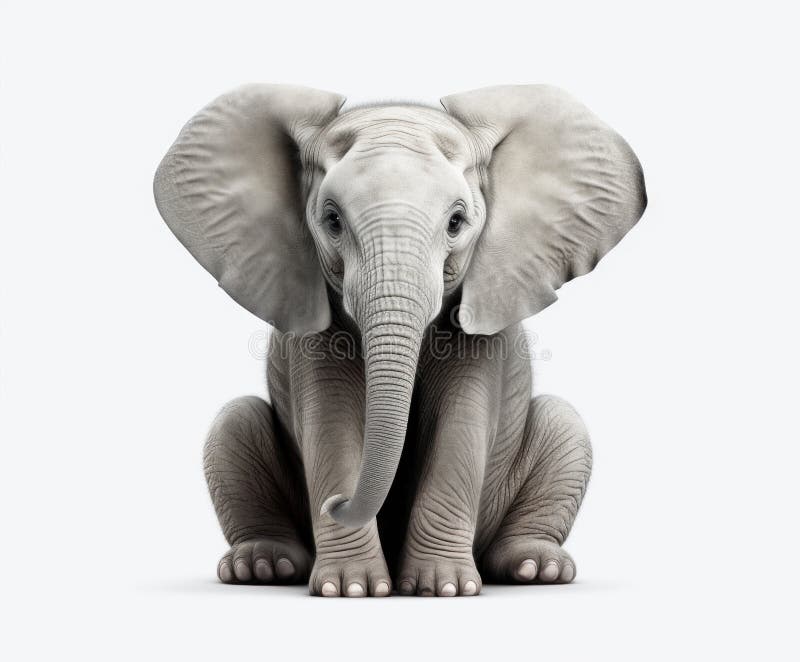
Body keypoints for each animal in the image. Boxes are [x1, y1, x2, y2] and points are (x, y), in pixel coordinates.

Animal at [153, 83, 646, 597]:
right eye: (332, 220)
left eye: (456, 222)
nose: (333, 502)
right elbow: (331, 420)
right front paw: (351, 589)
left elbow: (461, 421)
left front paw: (443, 589)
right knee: (234, 420)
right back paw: (264, 566)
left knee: (564, 421)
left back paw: (535, 568)